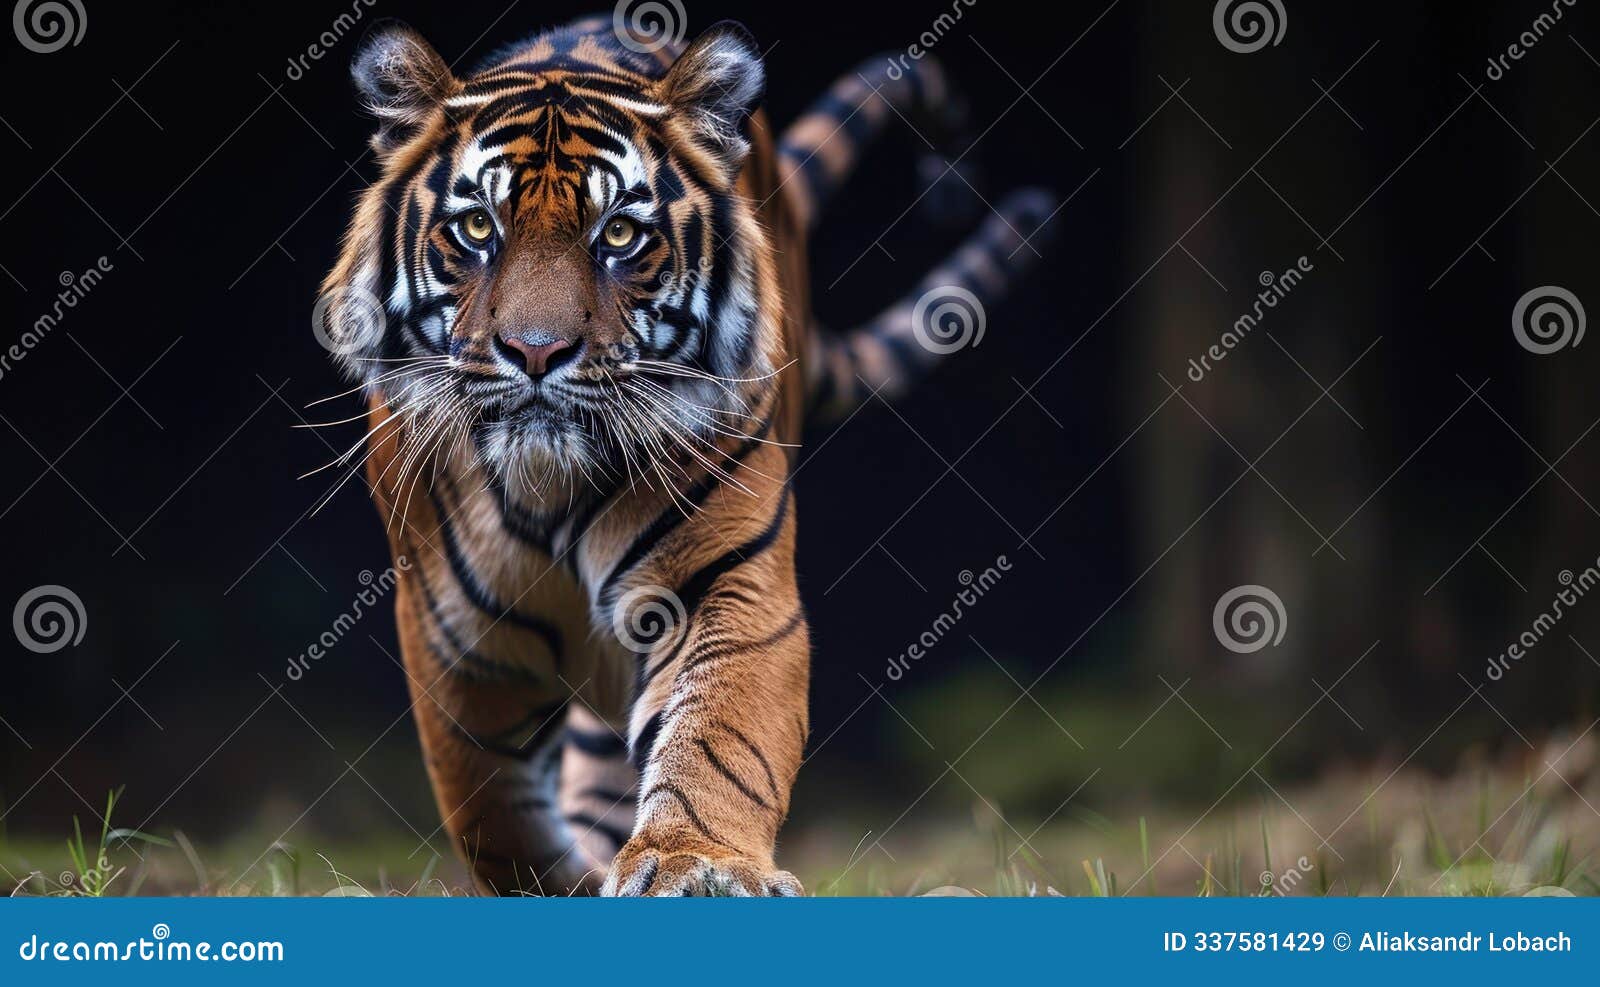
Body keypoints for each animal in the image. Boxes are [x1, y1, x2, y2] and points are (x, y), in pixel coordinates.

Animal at [319, 14, 1055, 895]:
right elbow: (488, 809)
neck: (548, 486)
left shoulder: (727, 580)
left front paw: (695, 861)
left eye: (619, 235)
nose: (536, 351)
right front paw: (564, 880)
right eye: (477, 228)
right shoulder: (450, 629)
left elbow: (718, 734)